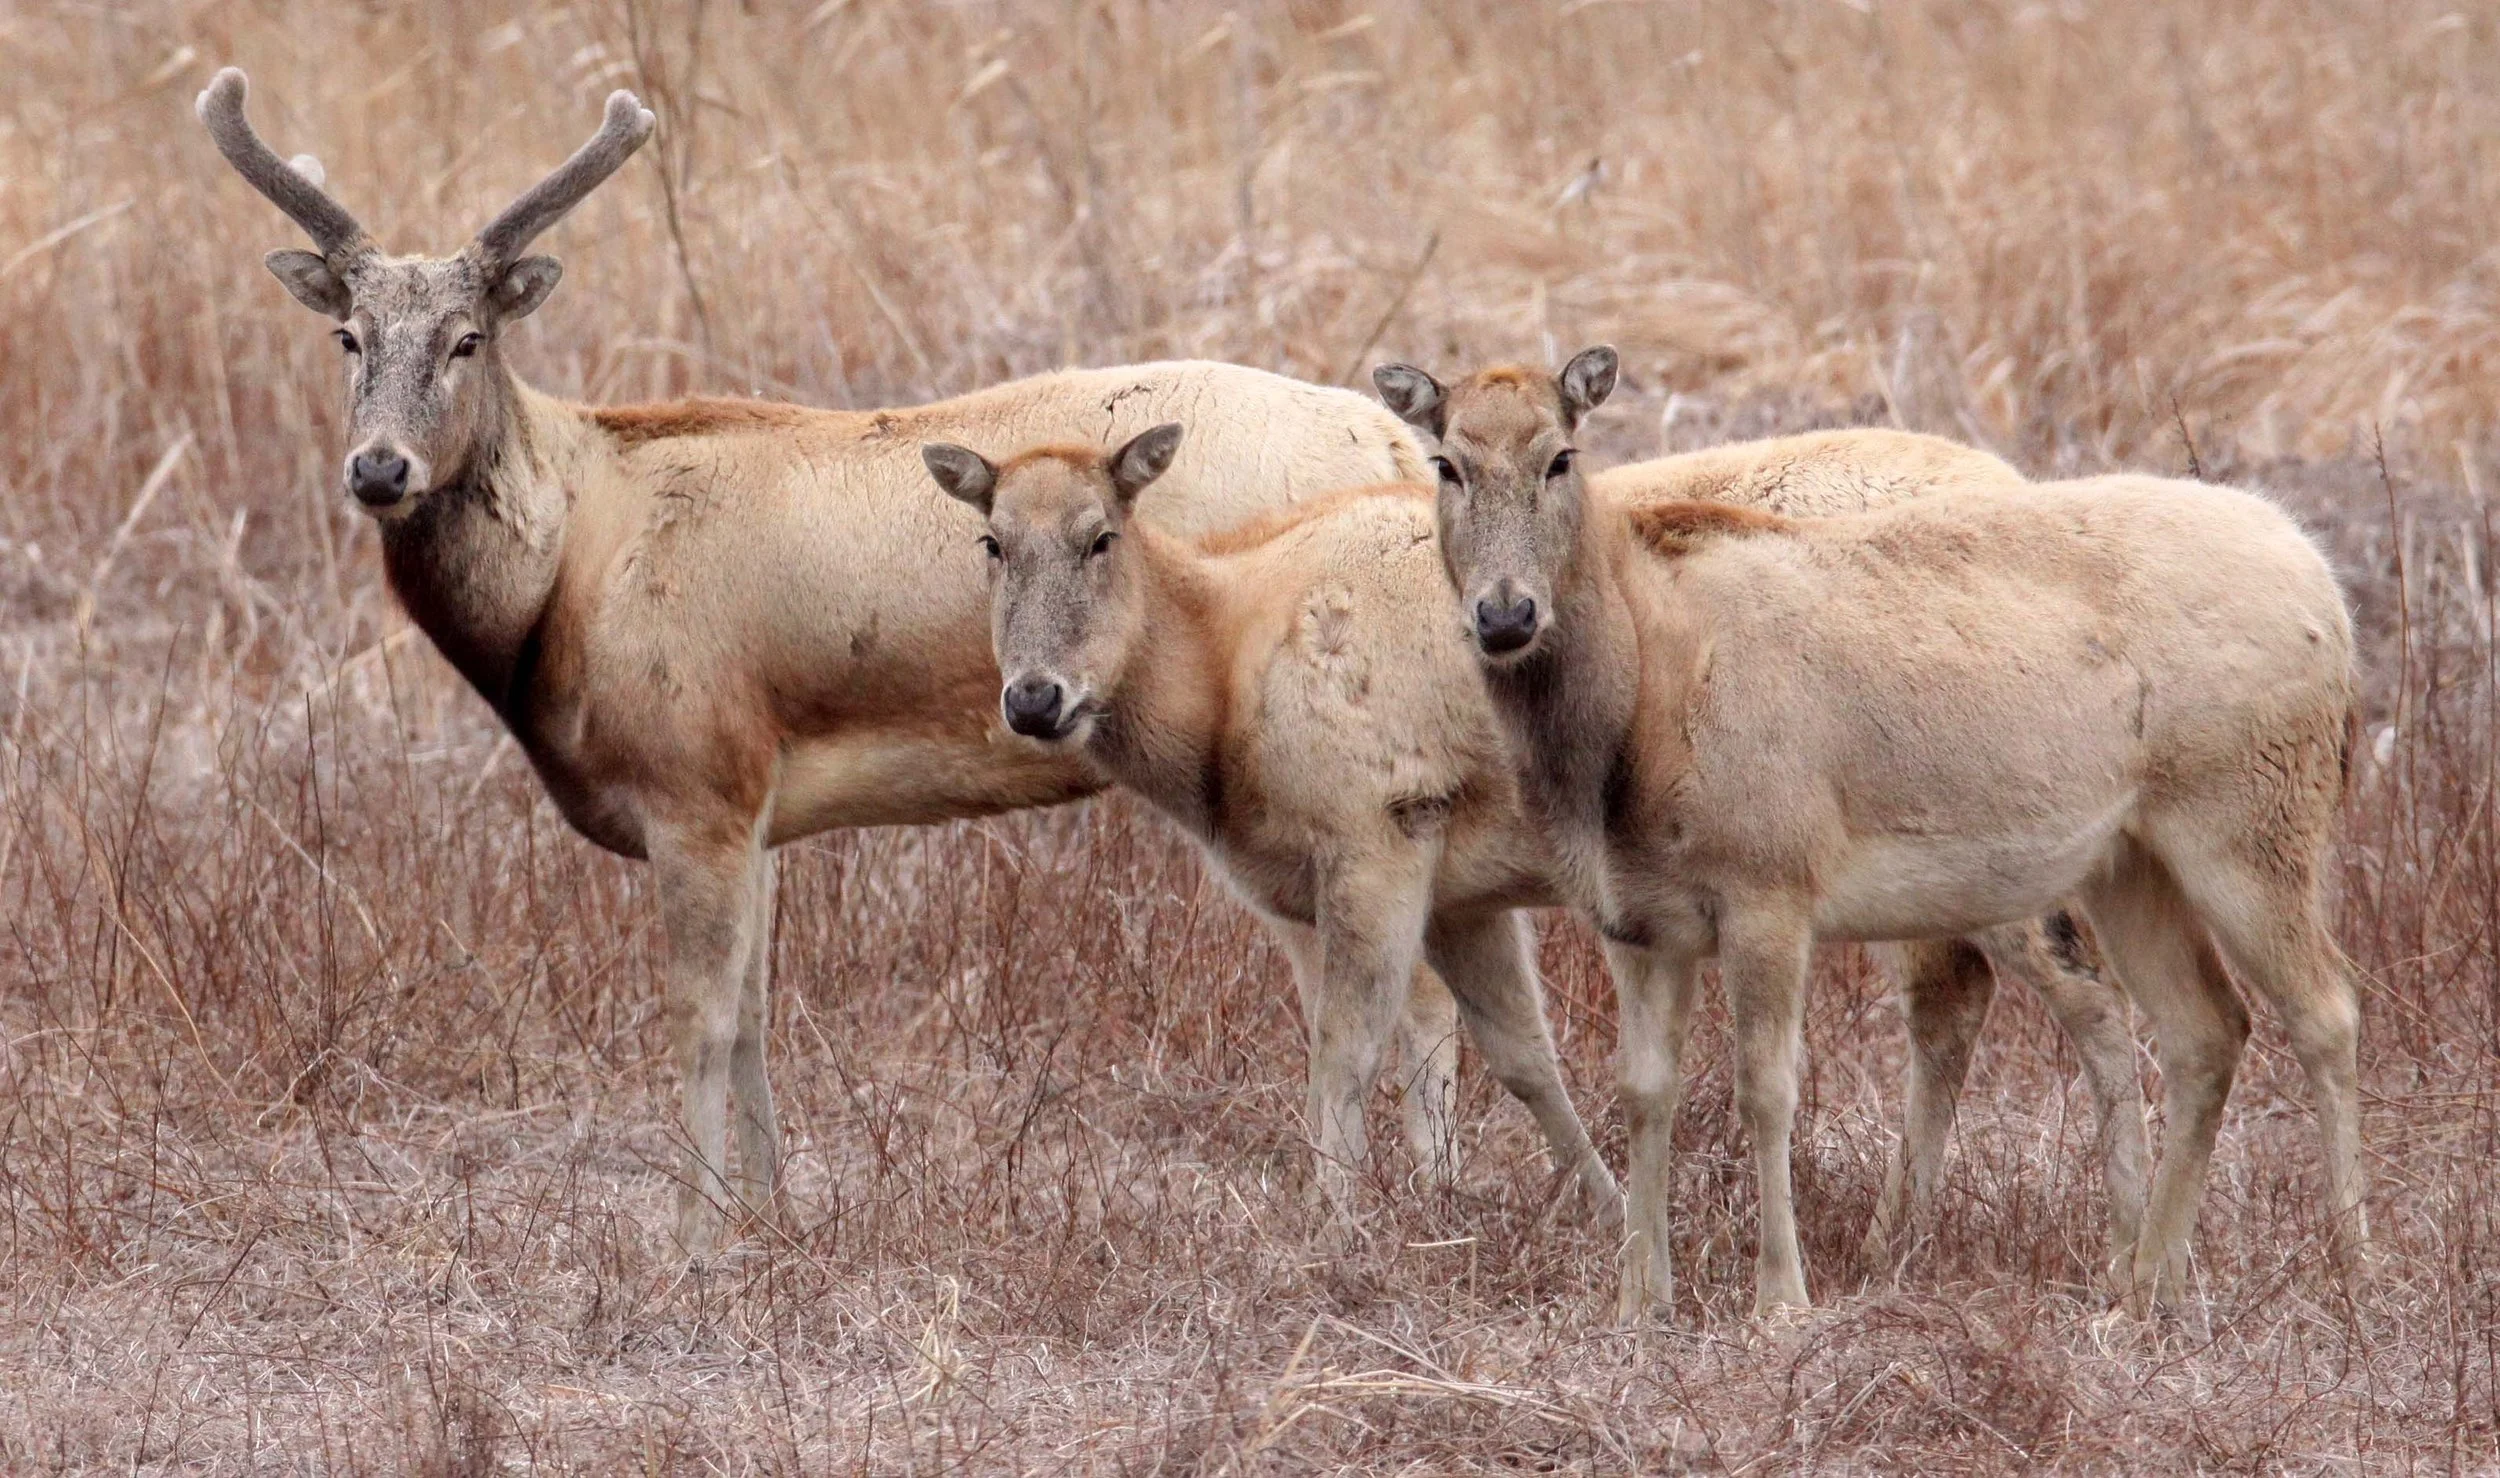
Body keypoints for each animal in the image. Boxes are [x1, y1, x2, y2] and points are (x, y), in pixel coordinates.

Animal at [196, 68, 1457, 1256]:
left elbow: (700, 1019)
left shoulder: (696, 773)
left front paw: (695, 1241)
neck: (571, 568)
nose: (379, 468)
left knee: (1412, 996)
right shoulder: (753, 803)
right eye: (348, 337)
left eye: (468, 339)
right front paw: (770, 1216)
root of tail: (1396, 442)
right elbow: (757, 1017)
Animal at [1376, 347, 2362, 1321]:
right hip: (2131, 860)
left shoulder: (1770, 882)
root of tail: (2326, 590)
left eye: (1560, 457)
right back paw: (2148, 1283)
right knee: (2207, 1028)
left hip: (2254, 816)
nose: (1507, 616)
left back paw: (2351, 1265)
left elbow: (1766, 1089)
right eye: (1448, 463)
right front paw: (1637, 1302)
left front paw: (1781, 1301)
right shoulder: (1631, 917)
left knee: (2325, 1010)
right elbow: (1642, 1091)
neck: (1631, 723)